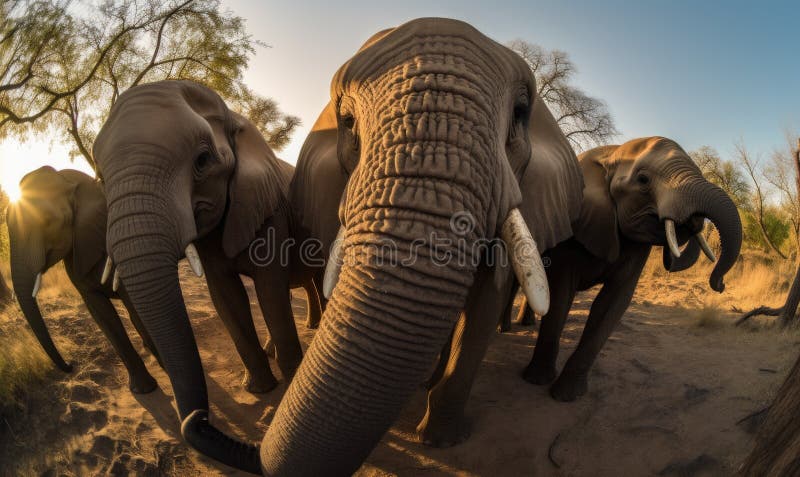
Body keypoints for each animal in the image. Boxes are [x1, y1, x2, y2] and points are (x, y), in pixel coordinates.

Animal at [6, 166, 158, 393]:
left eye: (47, 222)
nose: (71, 365)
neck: (68, 181)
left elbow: (133, 302)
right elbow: (100, 312)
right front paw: (144, 390)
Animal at [510, 137, 742, 402]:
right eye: (643, 180)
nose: (720, 285)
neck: (613, 154)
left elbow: (613, 302)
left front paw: (567, 395)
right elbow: (561, 294)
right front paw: (537, 381)